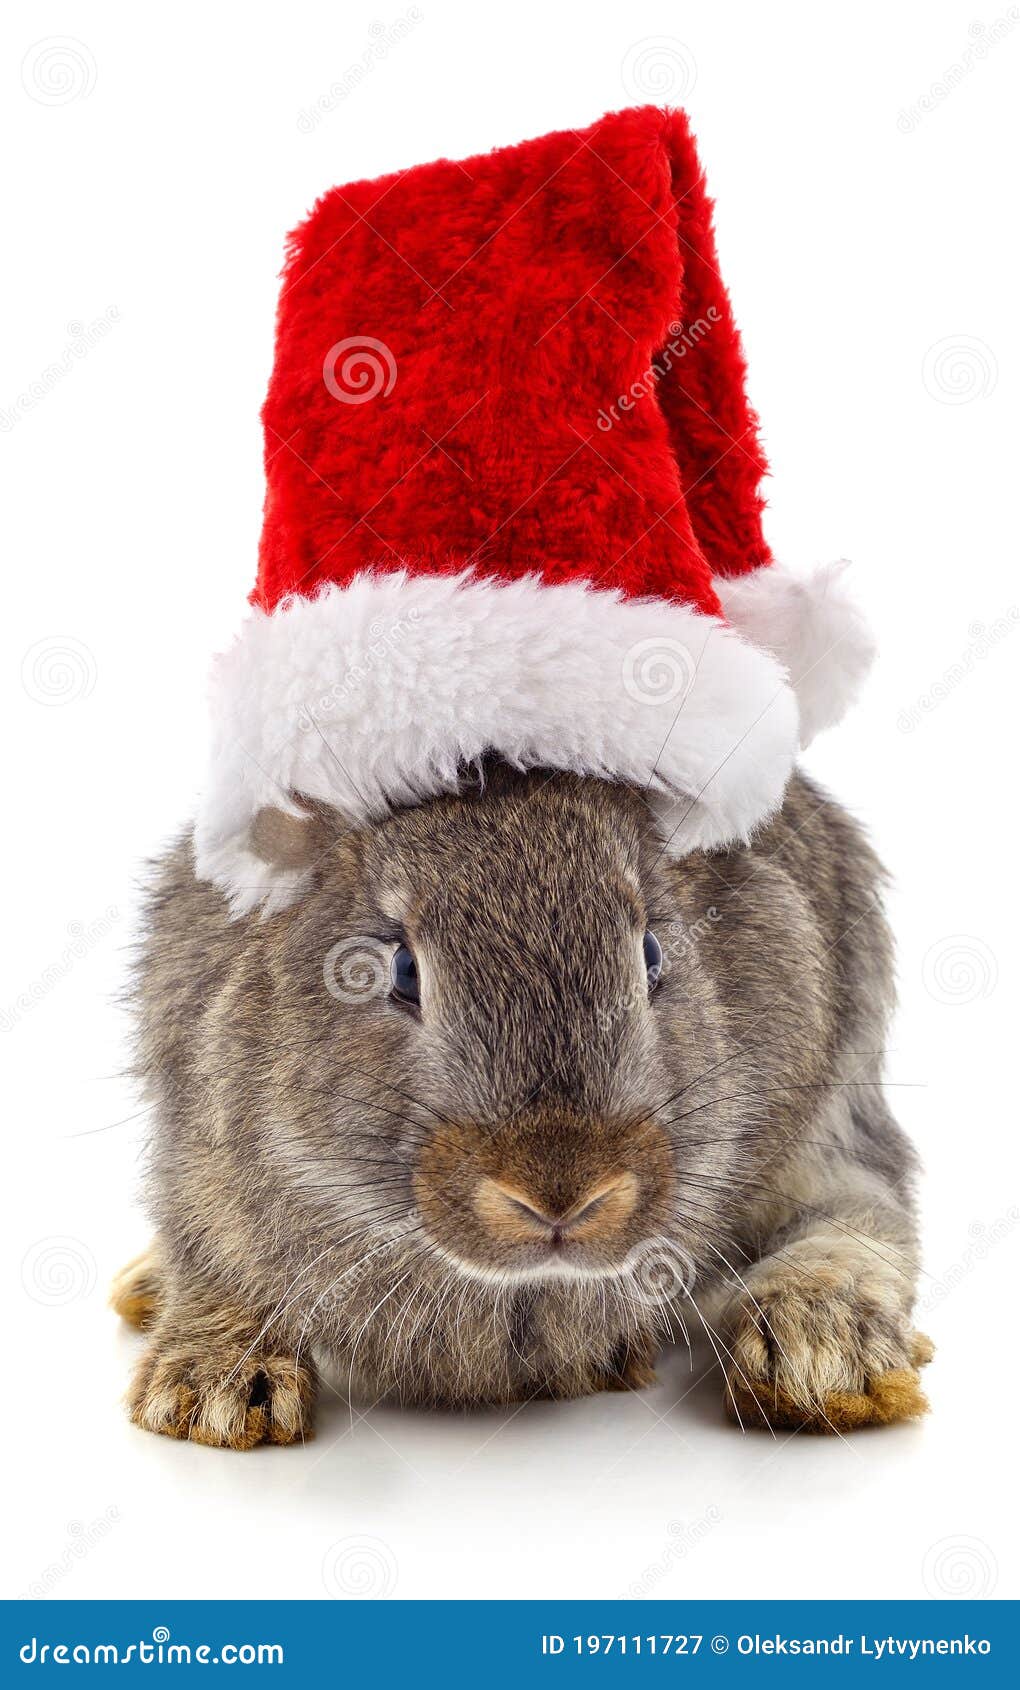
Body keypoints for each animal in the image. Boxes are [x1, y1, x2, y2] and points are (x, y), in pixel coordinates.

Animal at [115, 762, 930, 1448]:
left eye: (652, 955)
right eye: (401, 970)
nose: (562, 1193)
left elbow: (855, 1225)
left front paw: (822, 1360)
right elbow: (216, 1260)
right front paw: (213, 1390)